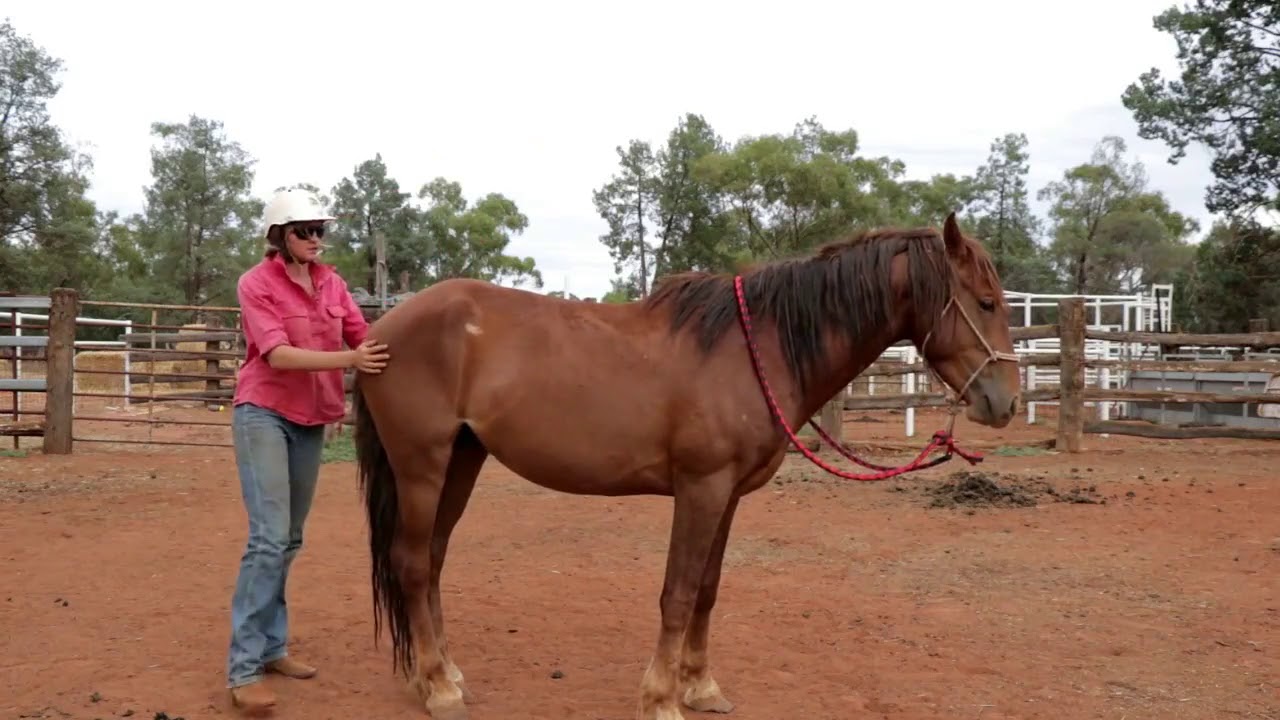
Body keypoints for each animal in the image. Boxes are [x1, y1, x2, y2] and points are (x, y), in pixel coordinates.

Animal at [351, 211, 1021, 720]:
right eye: (986, 302)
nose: (1006, 401)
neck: (758, 349)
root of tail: (379, 331)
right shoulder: (701, 488)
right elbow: (676, 593)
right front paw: (661, 699)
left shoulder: (728, 494)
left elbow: (707, 588)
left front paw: (701, 687)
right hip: (421, 465)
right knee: (412, 564)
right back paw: (439, 689)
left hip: (461, 461)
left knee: (434, 559)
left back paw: (445, 672)